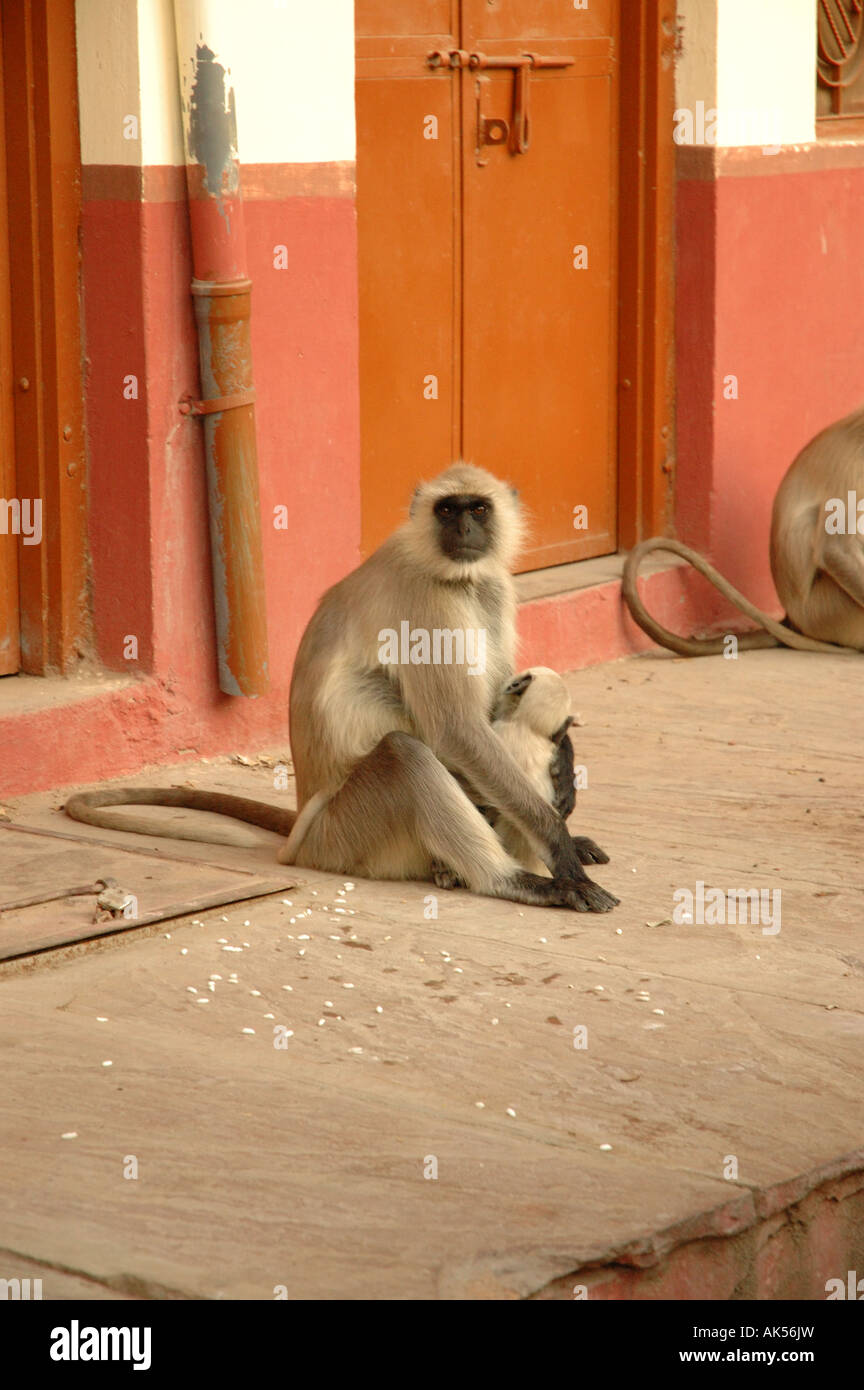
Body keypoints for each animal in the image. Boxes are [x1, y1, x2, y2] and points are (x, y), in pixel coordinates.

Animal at [66, 463, 618, 913]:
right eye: (447, 510)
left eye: (478, 509)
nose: (463, 528)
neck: (452, 574)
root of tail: (300, 839)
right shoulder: (425, 599)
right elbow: (455, 729)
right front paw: (558, 843)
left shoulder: (492, 586)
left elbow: (500, 704)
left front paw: (565, 767)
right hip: (347, 836)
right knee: (404, 753)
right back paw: (511, 881)